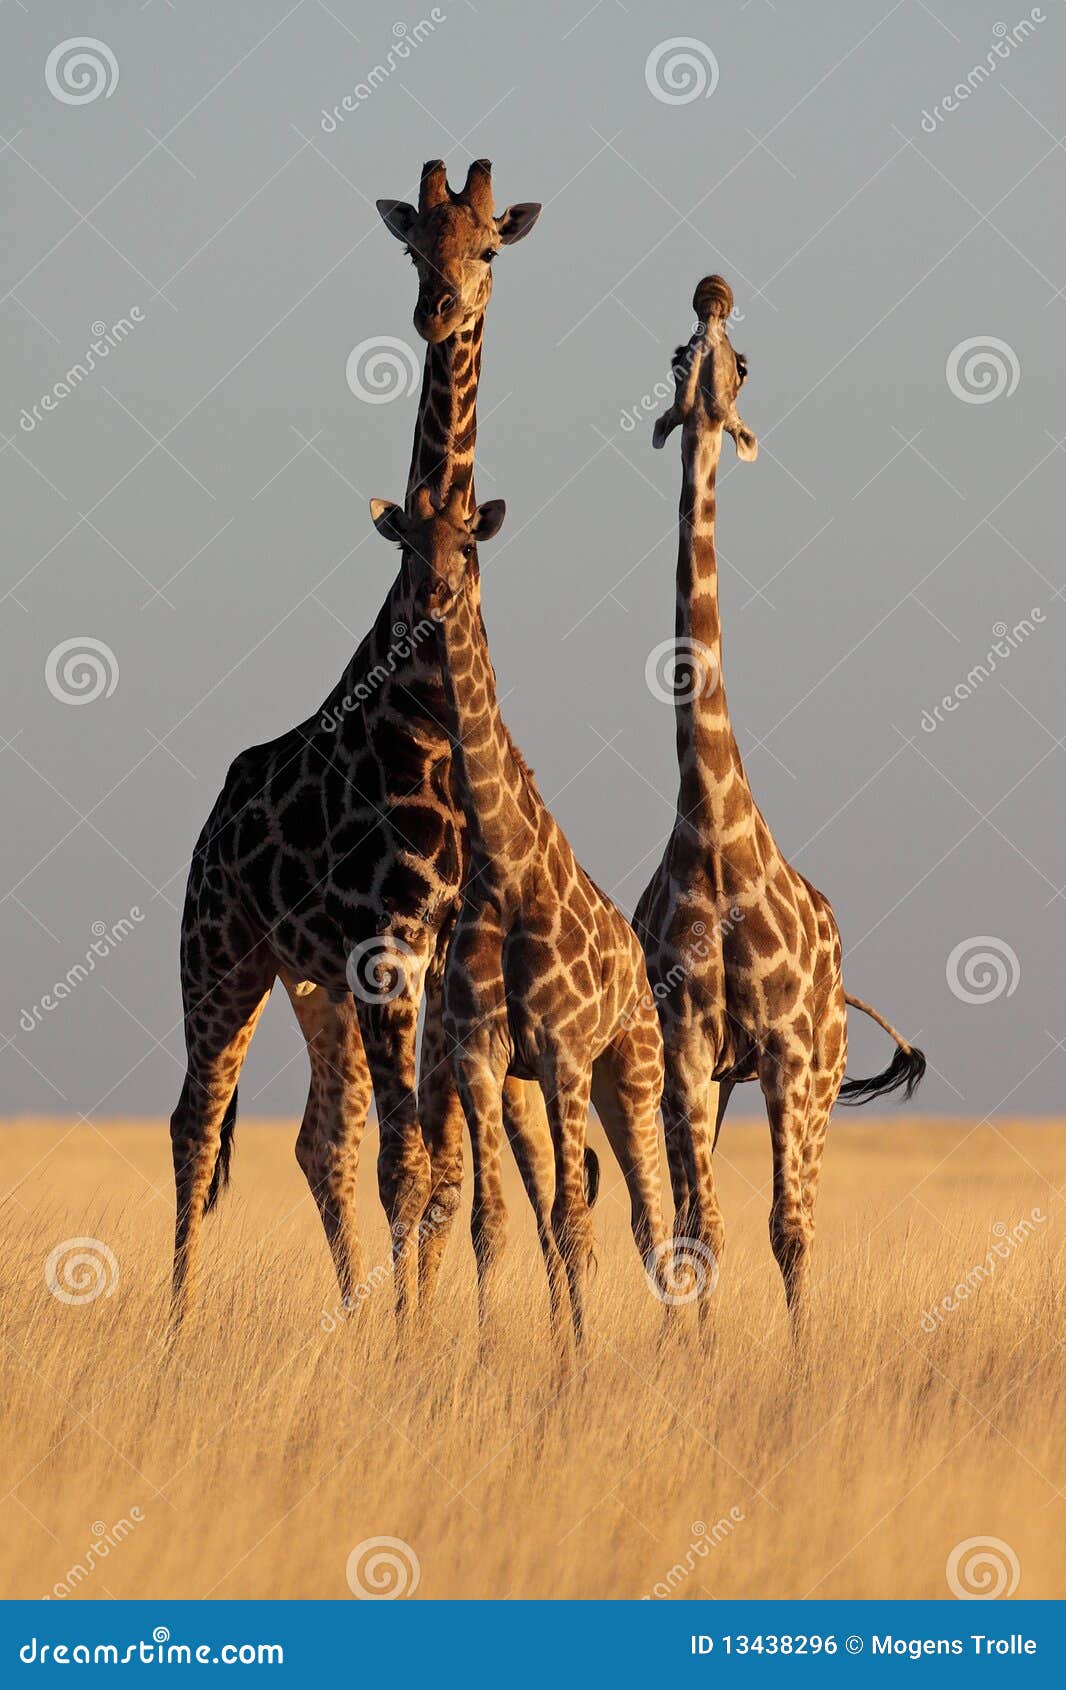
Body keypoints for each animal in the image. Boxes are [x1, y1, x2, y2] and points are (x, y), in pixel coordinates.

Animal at [168, 160, 543, 1334]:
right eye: (413, 245)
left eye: (490, 246)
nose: (440, 311)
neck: (422, 699)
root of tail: (209, 825)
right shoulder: (389, 947)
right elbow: (410, 1168)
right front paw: (413, 1344)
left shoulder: (440, 957)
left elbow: (442, 1172)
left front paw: (433, 1337)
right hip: (221, 953)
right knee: (196, 1124)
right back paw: (176, 1326)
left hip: (312, 983)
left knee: (317, 1140)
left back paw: (345, 1318)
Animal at [368, 485, 669, 1353]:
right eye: (407, 542)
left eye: (468, 540)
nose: (435, 593)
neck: (503, 864)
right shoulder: (482, 1056)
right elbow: (493, 1222)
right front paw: (492, 1356)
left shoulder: (565, 1052)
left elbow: (576, 1220)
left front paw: (578, 1365)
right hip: (524, 1092)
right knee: (551, 1220)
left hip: (632, 1073)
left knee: (654, 1221)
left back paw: (687, 1349)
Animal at [633, 276, 926, 1340]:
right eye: (679, 353)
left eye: (744, 362)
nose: (712, 292)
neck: (714, 831)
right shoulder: (686, 1047)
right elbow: (699, 1228)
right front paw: (691, 1362)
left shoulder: (791, 1054)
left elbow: (788, 1231)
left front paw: (795, 1370)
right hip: (726, 1078)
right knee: (690, 1215)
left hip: (823, 1073)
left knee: (802, 1216)